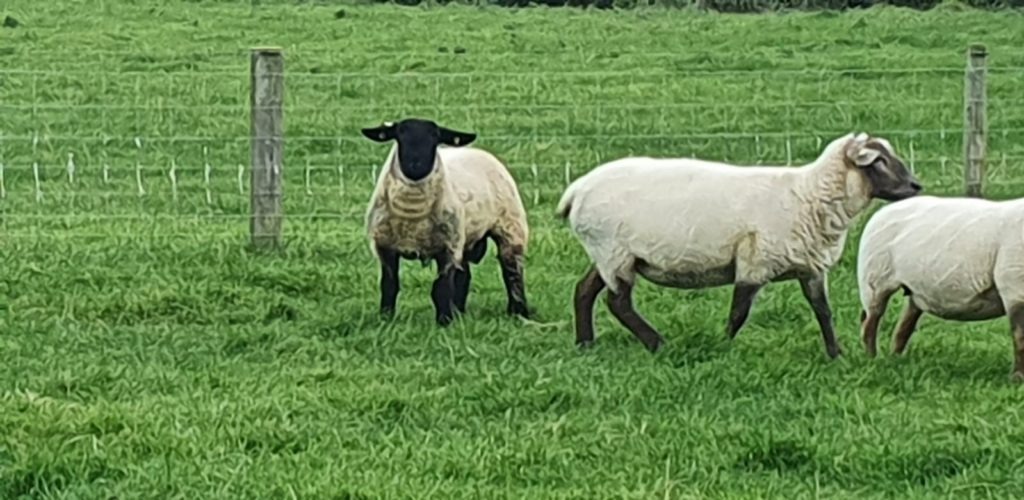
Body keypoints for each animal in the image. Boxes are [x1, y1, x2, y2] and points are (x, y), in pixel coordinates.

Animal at [362, 118, 531, 326]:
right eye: (400, 134)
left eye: (435, 137)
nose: (416, 165)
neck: (413, 216)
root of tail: (477, 151)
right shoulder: (384, 247)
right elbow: (389, 285)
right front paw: (386, 318)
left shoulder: (447, 248)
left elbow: (440, 289)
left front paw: (443, 322)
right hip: (463, 237)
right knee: (464, 276)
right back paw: (459, 312)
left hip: (510, 227)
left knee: (512, 271)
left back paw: (518, 312)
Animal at [555, 132, 921, 357]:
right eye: (878, 161)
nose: (916, 186)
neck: (808, 195)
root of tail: (577, 190)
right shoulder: (754, 263)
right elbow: (739, 313)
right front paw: (724, 348)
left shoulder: (811, 268)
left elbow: (823, 312)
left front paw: (836, 354)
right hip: (613, 251)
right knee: (618, 303)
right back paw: (656, 343)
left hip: (610, 254)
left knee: (584, 290)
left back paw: (585, 343)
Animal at [857, 195, 1024, 381]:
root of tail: (881, 211)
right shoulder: (1014, 289)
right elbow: (1020, 337)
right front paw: (1018, 378)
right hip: (875, 279)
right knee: (870, 324)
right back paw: (872, 360)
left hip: (915, 291)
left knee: (903, 328)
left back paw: (895, 360)